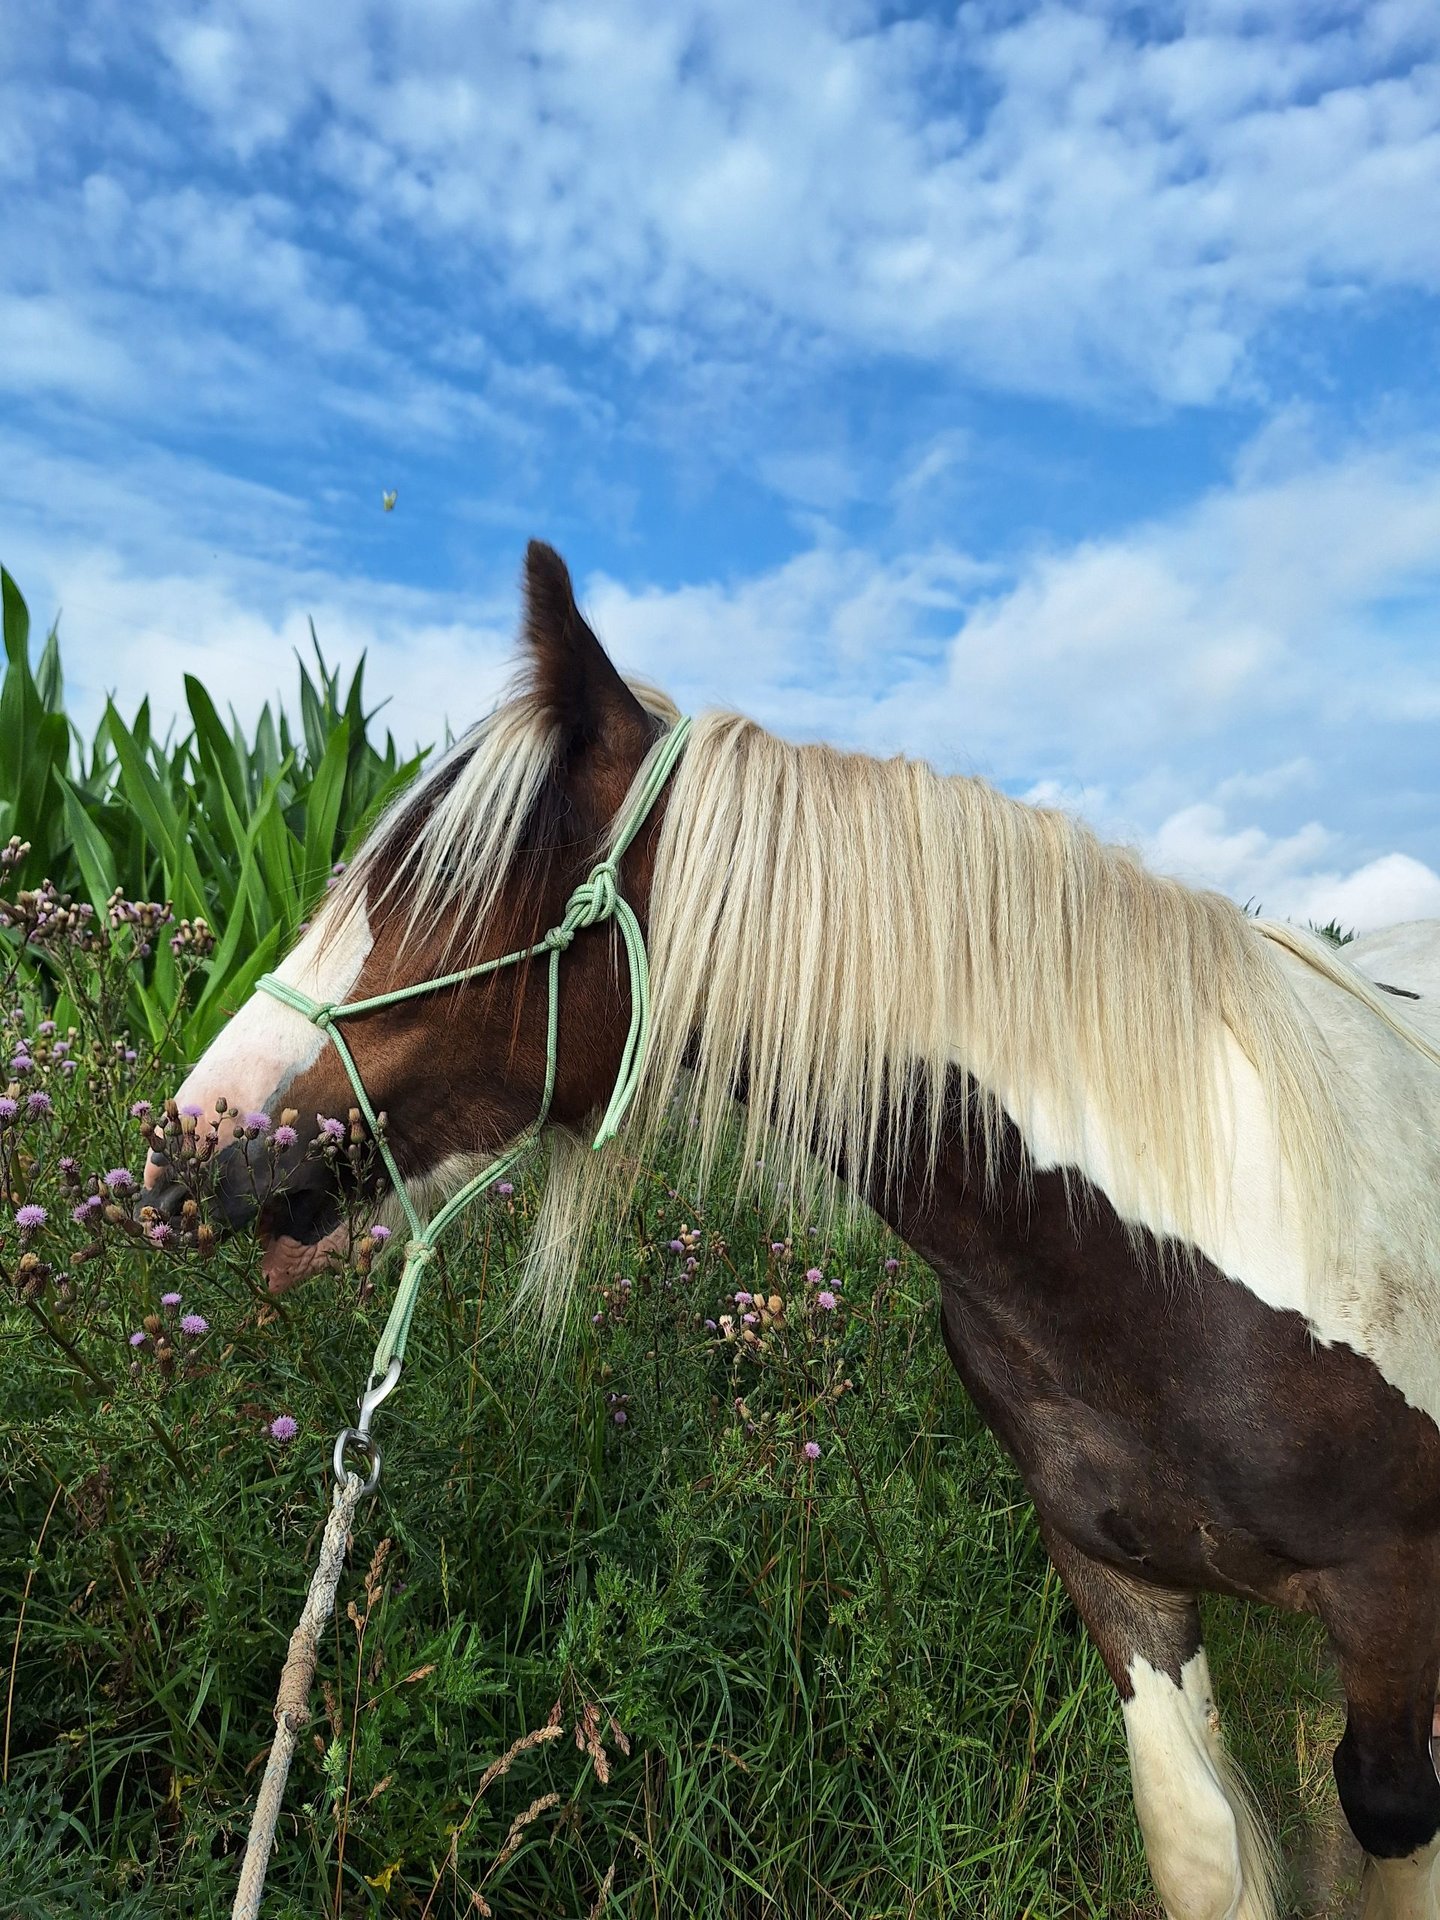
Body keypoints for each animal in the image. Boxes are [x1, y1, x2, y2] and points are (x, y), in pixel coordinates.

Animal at [145, 540, 1440, 1920]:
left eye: (452, 890)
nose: (196, 1147)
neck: (1177, 1261)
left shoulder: (1394, 1605)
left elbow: (1392, 1822)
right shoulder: (1119, 1579)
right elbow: (1200, 1850)